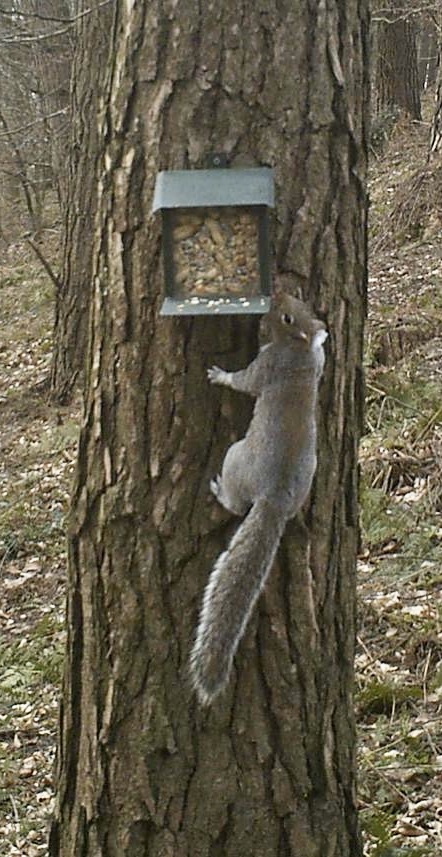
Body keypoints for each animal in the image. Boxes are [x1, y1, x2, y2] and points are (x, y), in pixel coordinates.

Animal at [189, 292, 328, 705]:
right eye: (300, 304)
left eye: (286, 316)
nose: (279, 293)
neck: (298, 350)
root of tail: (275, 500)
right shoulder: (317, 362)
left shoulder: (267, 366)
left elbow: (244, 383)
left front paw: (219, 375)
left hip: (236, 456)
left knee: (236, 503)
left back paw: (219, 490)